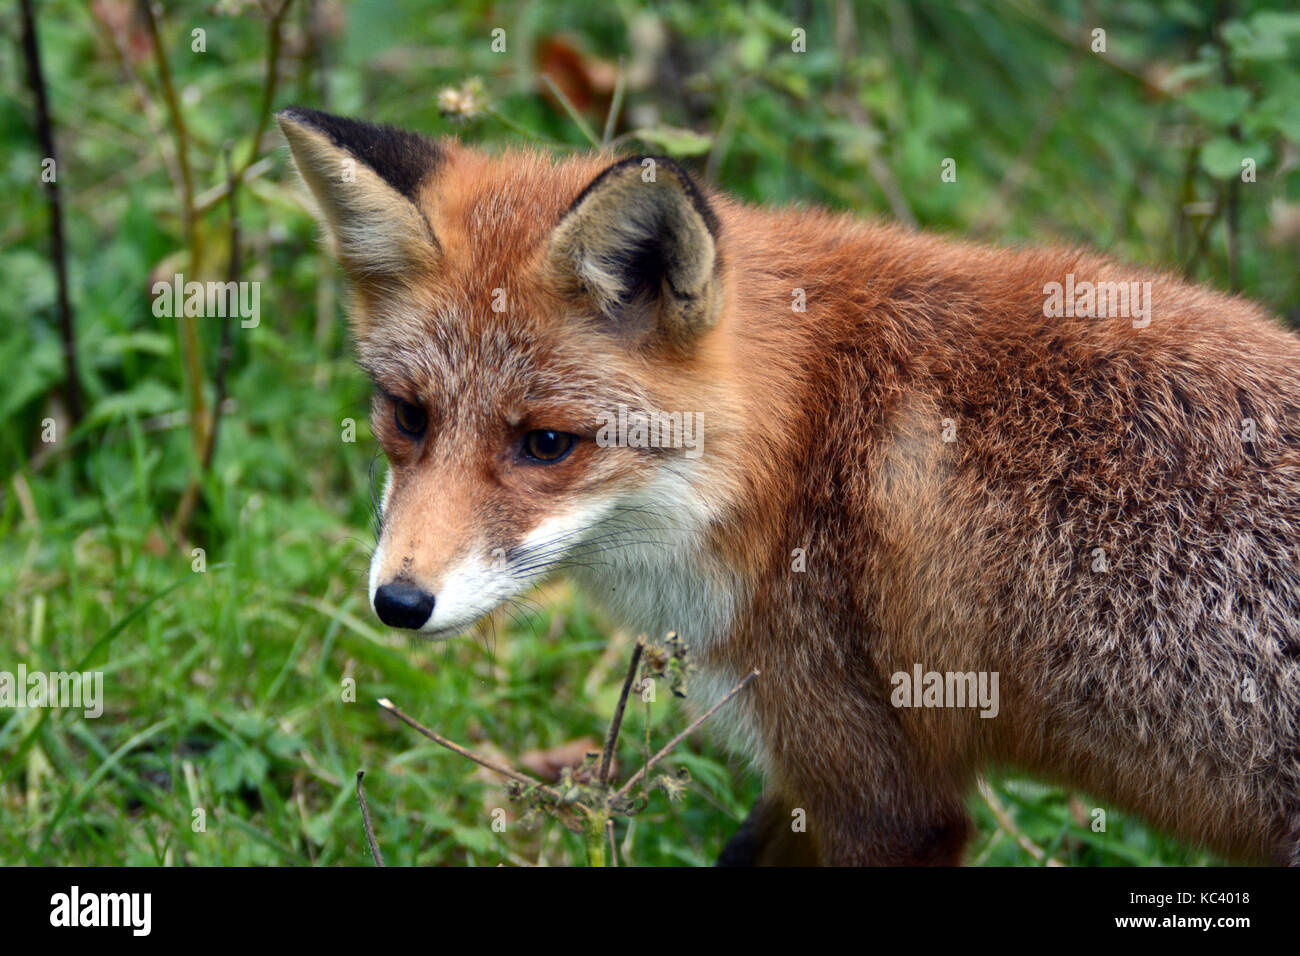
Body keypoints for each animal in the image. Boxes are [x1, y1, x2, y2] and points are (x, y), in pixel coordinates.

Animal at [276, 105, 1300, 866]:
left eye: (547, 443)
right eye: (409, 416)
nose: (399, 602)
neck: (803, 445)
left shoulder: (881, 793)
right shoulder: (816, 774)